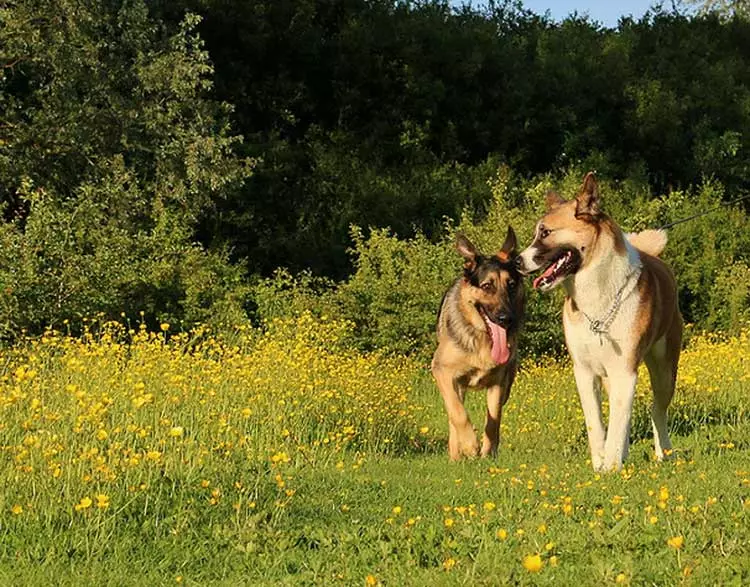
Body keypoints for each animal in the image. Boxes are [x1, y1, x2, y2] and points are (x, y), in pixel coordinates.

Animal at [432, 227, 524, 462]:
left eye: (511, 286)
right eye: (486, 286)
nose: (506, 319)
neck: (482, 340)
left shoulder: (499, 384)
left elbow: (494, 421)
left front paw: (487, 453)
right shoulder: (442, 372)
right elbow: (458, 413)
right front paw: (469, 445)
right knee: (453, 412)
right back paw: (457, 453)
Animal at [520, 172, 684, 470]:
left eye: (546, 232)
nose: (516, 261)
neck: (597, 300)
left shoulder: (625, 371)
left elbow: (619, 422)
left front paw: (611, 466)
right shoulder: (584, 373)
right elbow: (595, 422)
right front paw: (600, 463)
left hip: (665, 371)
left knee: (657, 411)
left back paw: (662, 453)